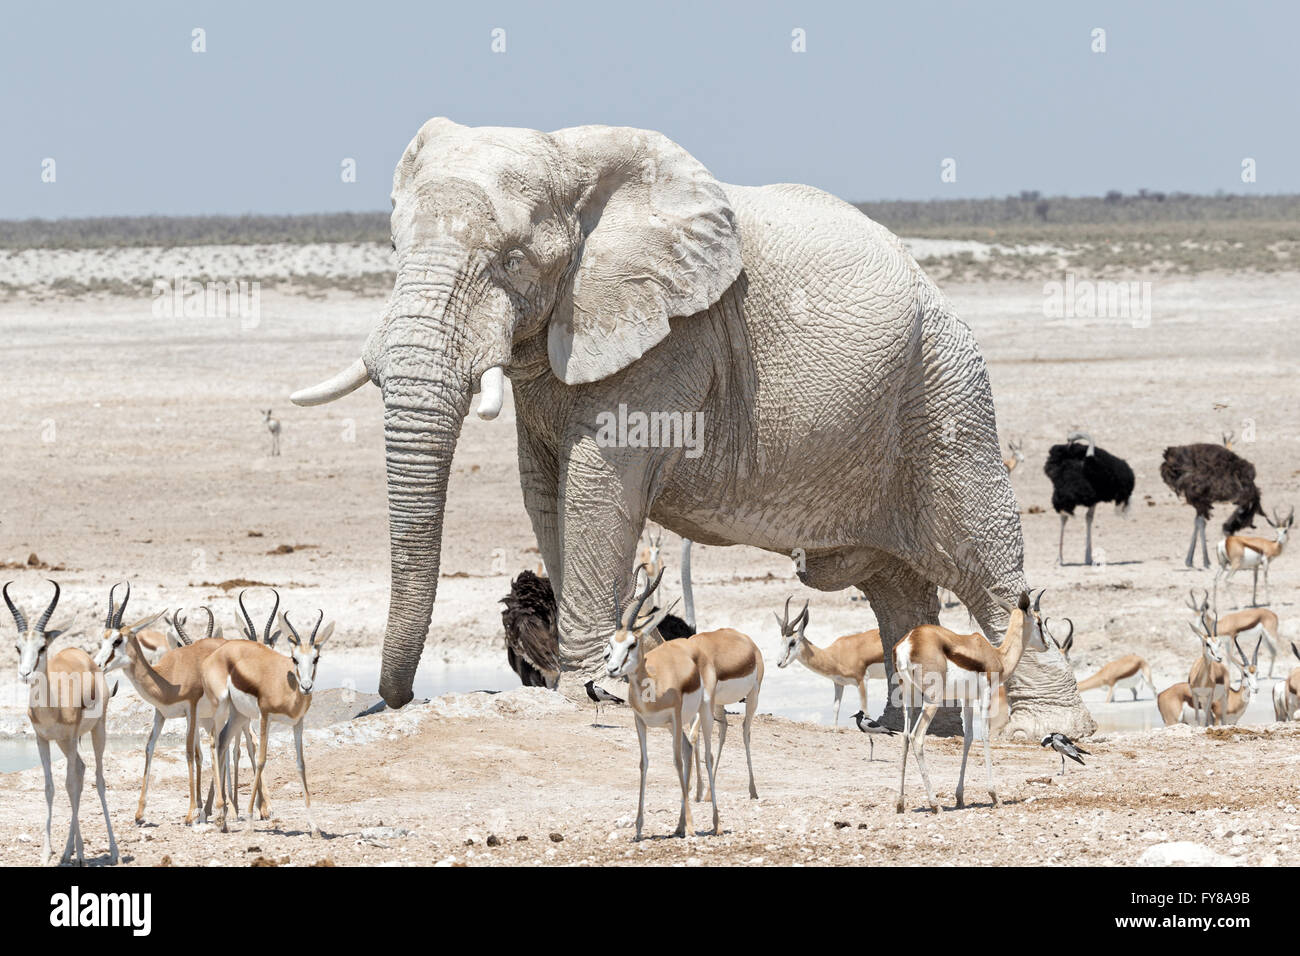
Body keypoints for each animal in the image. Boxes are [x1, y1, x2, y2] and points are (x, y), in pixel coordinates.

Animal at [292, 117, 1093, 740]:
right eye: (395, 251)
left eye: (512, 260)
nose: (390, 702)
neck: (569, 156)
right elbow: (546, 494)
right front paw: (582, 682)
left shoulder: (671, 340)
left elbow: (597, 494)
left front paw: (589, 691)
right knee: (895, 586)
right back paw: (911, 726)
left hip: (947, 394)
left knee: (986, 565)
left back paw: (1046, 730)